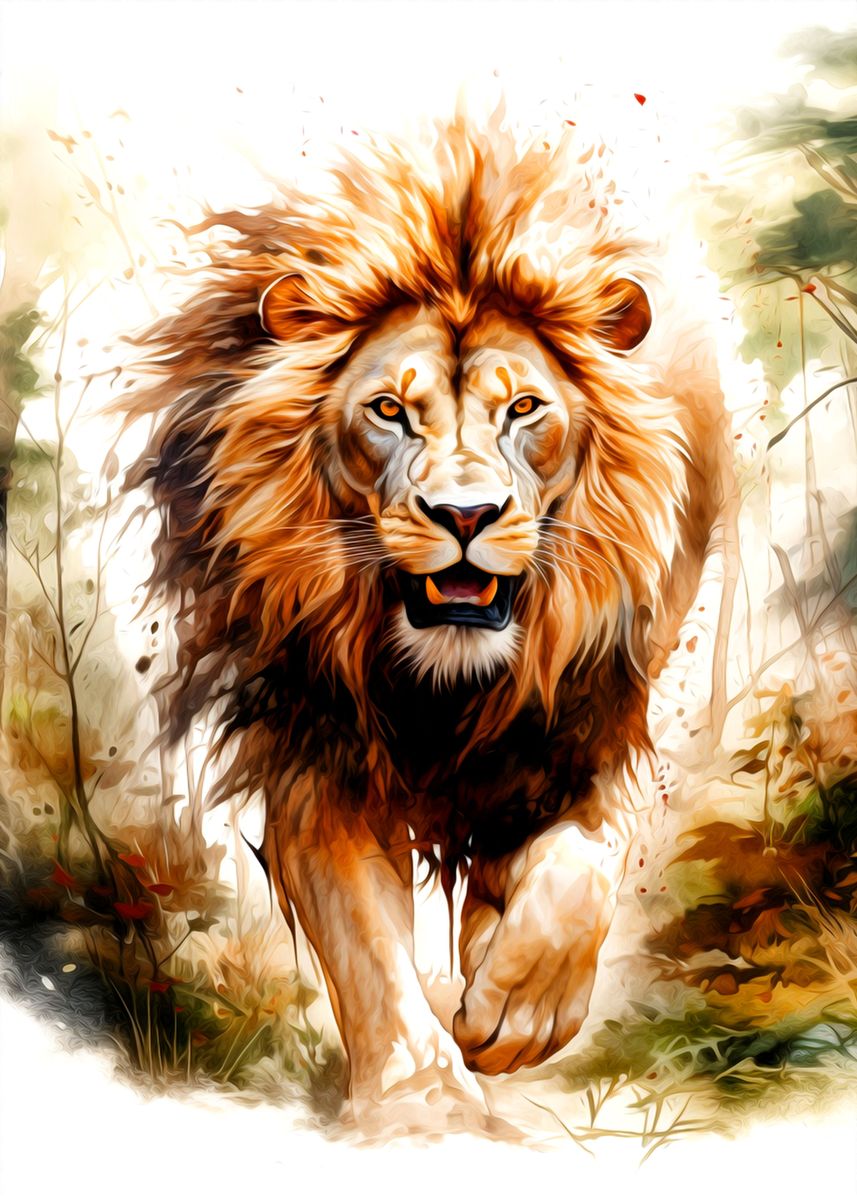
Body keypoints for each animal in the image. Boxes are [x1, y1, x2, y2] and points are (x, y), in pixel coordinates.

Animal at [128, 116, 734, 1134]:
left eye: (524, 408)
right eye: (387, 410)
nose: (464, 514)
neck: (448, 683)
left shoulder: (587, 718)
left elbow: (581, 863)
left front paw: (516, 1007)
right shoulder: (317, 746)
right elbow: (368, 950)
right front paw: (423, 1112)